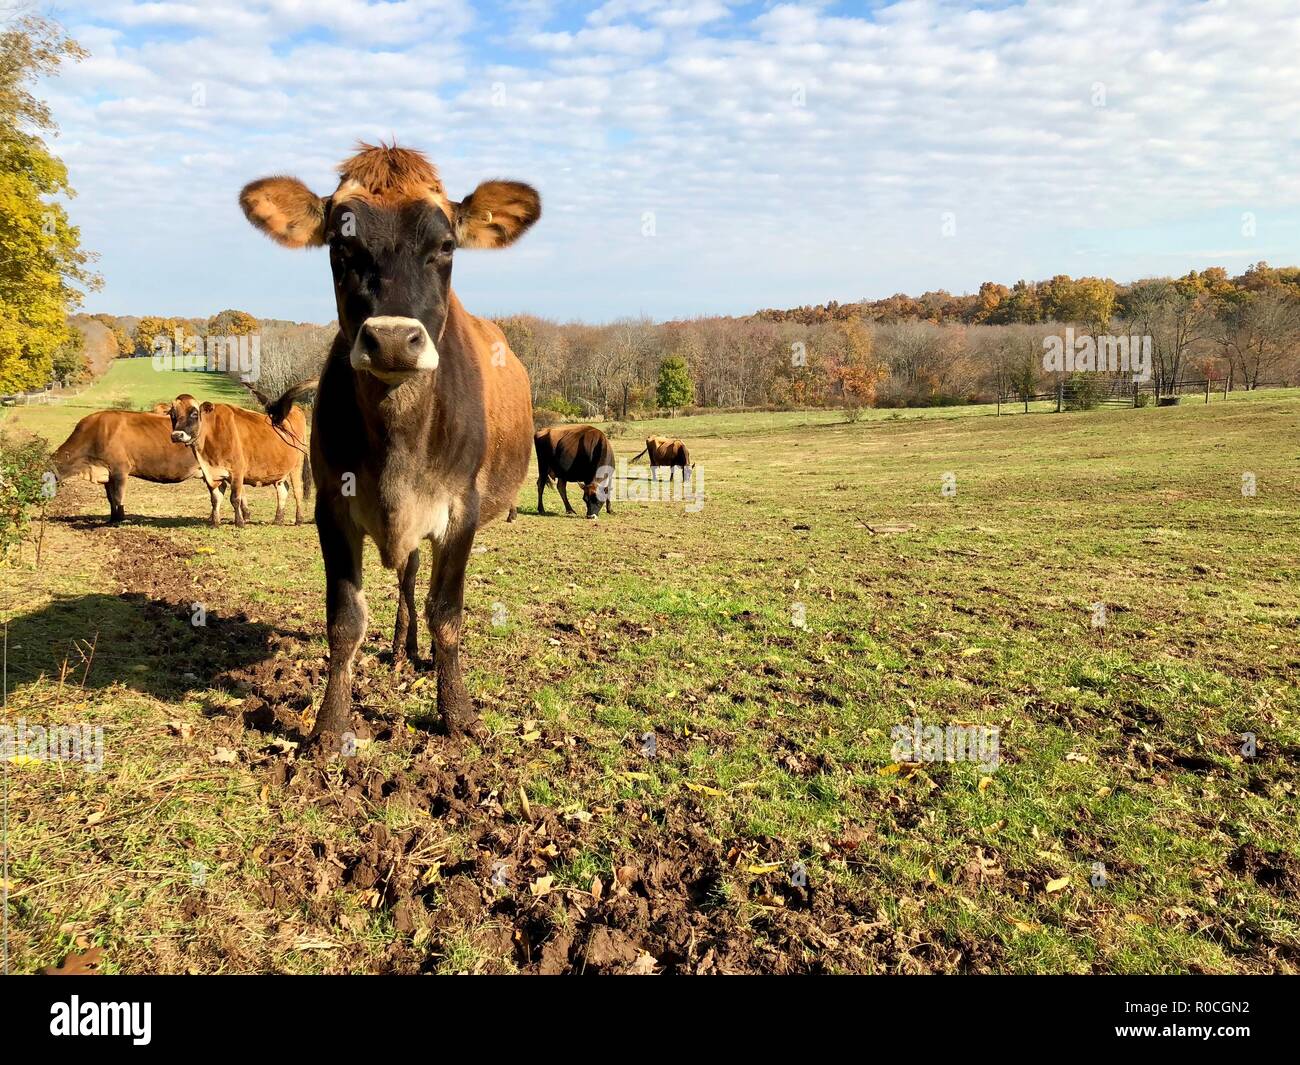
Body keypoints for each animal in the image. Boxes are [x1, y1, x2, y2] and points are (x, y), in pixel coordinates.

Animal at [167, 395, 310, 527]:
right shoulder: (212, 474)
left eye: (194, 413)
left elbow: (235, 498)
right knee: (283, 490)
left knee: (297, 492)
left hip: (297, 466)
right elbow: (215, 499)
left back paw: (299, 519)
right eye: (173, 414)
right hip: (279, 471)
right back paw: (278, 519)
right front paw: (215, 522)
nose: (177, 435)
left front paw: (239, 522)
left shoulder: (237, 471)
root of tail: (297, 409)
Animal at [240, 142, 539, 740]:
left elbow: (446, 614)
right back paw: (402, 647)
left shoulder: (461, 508)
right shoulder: (332, 504)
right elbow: (344, 621)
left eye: (446, 246)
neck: (398, 442)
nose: (394, 340)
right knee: (407, 574)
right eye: (341, 245)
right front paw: (329, 729)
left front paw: (457, 715)